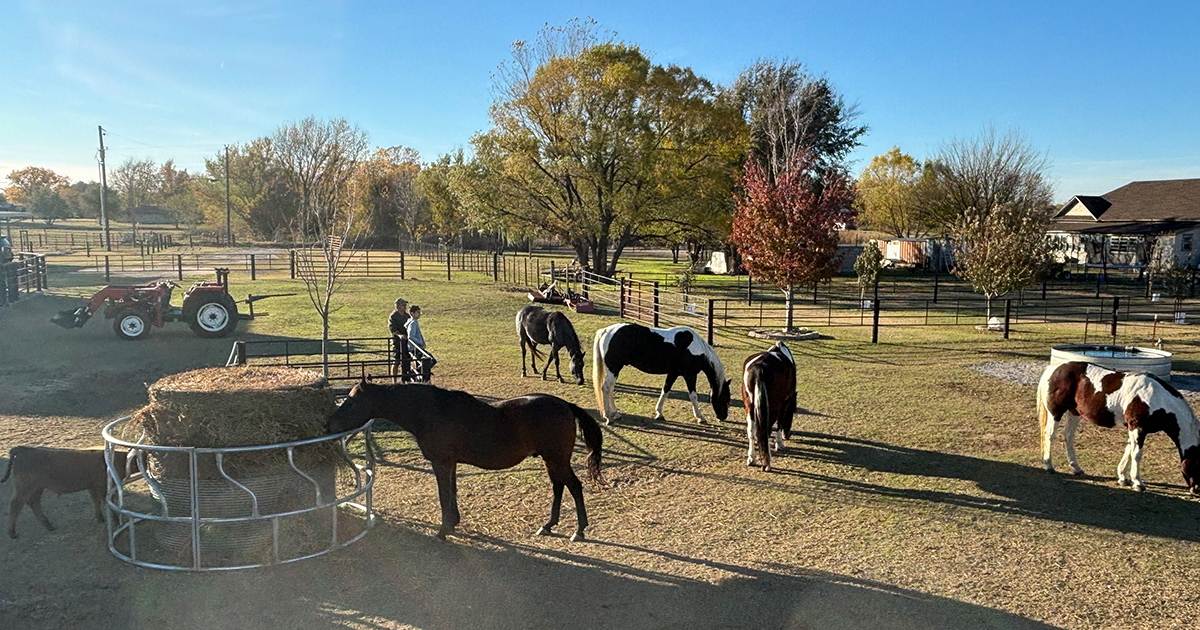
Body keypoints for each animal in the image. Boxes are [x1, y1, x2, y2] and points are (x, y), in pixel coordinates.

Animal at [327, 380, 603, 541]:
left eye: (351, 401)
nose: (330, 424)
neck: (431, 411)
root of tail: (565, 405)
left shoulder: (441, 462)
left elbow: (444, 495)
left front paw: (443, 530)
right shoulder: (451, 463)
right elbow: (452, 492)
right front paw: (453, 523)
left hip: (557, 460)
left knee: (574, 486)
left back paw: (579, 531)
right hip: (551, 460)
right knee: (559, 487)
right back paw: (548, 525)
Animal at [592, 322, 731, 425]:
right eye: (726, 399)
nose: (723, 417)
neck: (696, 347)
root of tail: (606, 330)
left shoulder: (673, 373)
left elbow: (665, 390)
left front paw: (659, 413)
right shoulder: (690, 375)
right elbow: (693, 396)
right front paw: (700, 417)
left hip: (614, 370)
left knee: (610, 389)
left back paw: (615, 414)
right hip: (613, 369)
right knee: (606, 388)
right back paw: (609, 416)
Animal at [742, 342, 797, 472]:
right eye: (792, 412)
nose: (788, 434)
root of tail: (760, 368)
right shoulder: (784, 403)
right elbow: (779, 424)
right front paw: (780, 443)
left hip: (750, 405)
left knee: (752, 430)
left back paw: (752, 458)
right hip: (773, 406)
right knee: (766, 430)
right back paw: (767, 462)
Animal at [1038, 361, 1200, 493]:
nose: (1196, 489)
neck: (1157, 398)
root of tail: (1054, 368)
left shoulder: (1134, 428)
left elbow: (1129, 449)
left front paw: (1123, 477)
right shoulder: (1138, 427)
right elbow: (1136, 453)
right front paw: (1138, 483)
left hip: (1074, 413)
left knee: (1068, 436)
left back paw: (1076, 468)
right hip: (1056, 413)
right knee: (1049, 435)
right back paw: (1049, 465)